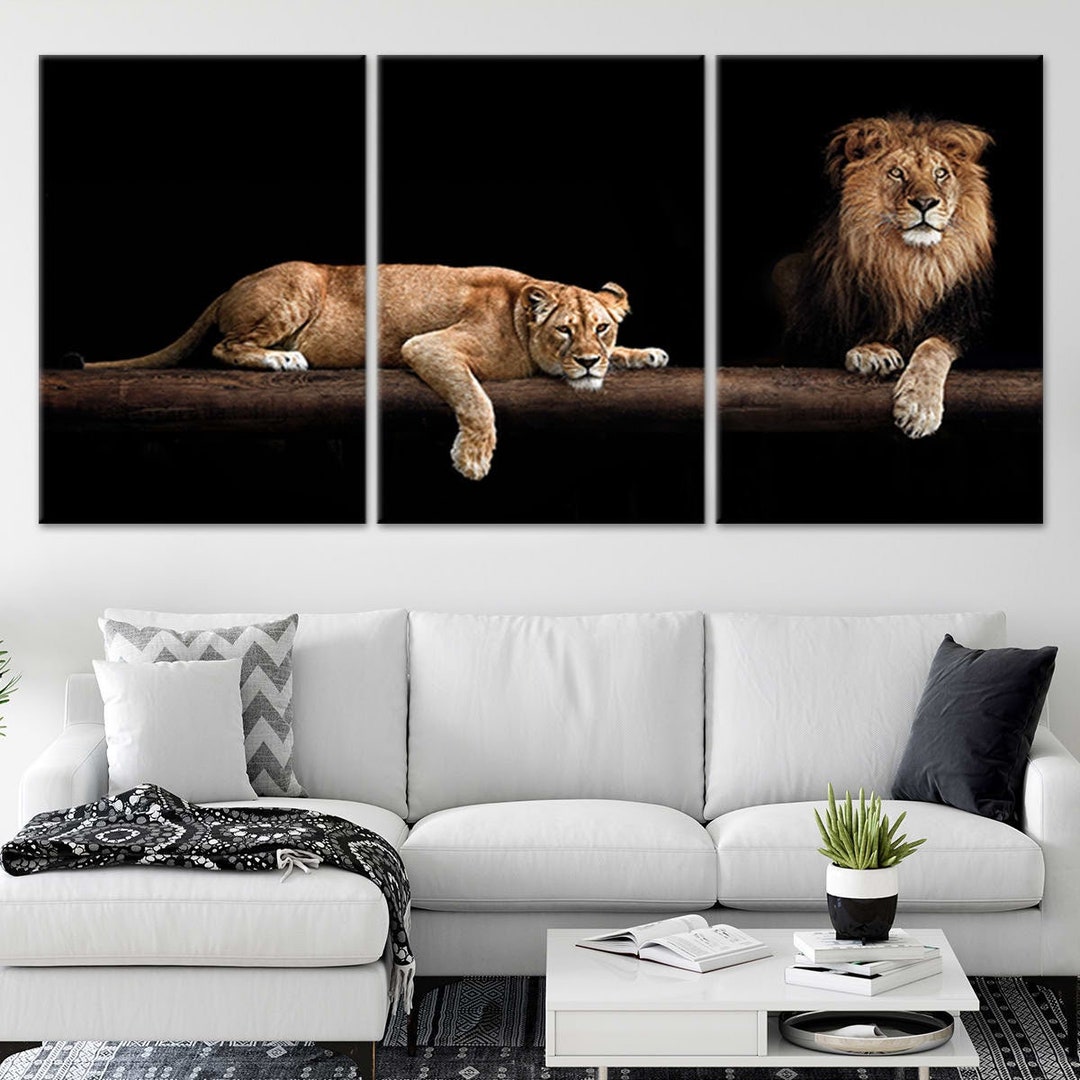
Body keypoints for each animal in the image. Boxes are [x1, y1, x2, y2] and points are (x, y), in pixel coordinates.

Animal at [81, 262, 669, 479]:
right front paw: (473, 459)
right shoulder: (427, 347)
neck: (521, 312)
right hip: (299, 286)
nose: (589, 360)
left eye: (603, 329)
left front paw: (644, 353)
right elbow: (477, 398)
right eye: (565, 331)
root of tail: (229, 286)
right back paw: (282, 358)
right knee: (224, 348)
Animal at [775, 114, 995, 438]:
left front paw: (919, 408)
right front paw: (872, 352)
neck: (910, 263)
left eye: (941, 173)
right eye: (896, 173)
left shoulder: (968, 322)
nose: (925, 203)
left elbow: (933, 347)